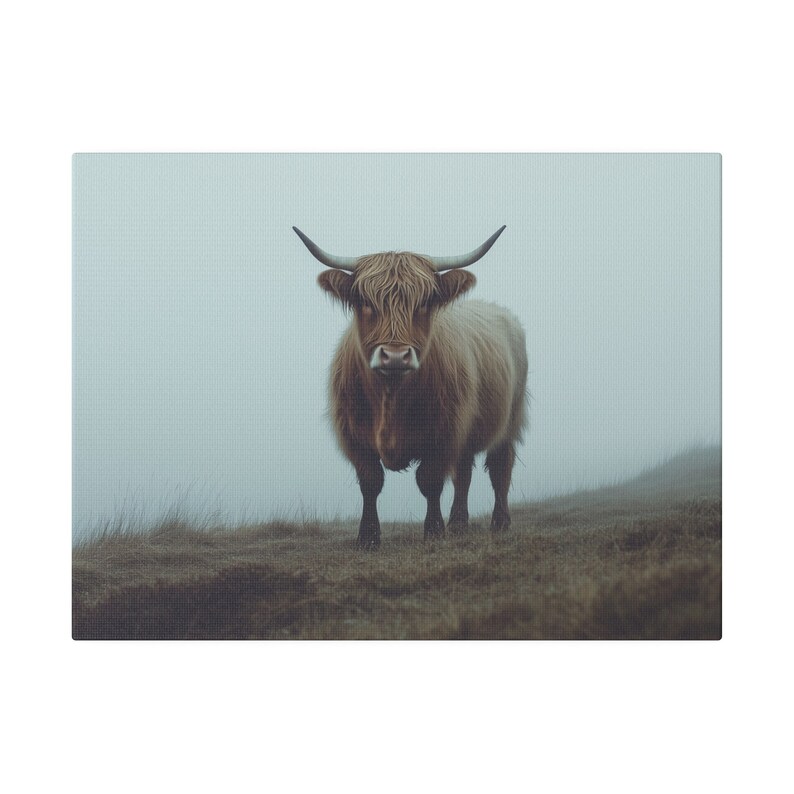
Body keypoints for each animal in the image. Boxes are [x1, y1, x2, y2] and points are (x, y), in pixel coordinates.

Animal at [294, 226, 528, 548]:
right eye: (365, 302)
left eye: (425, 302)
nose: (394, 356)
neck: (391, 395)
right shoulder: (353, 434)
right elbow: (370, 482)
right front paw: (368, 538)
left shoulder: (443, 431)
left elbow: (429, 481)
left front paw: (434, 531)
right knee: (464, 473)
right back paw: (458, 523)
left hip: (509, 422)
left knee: (499, 468)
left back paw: (500, 522)